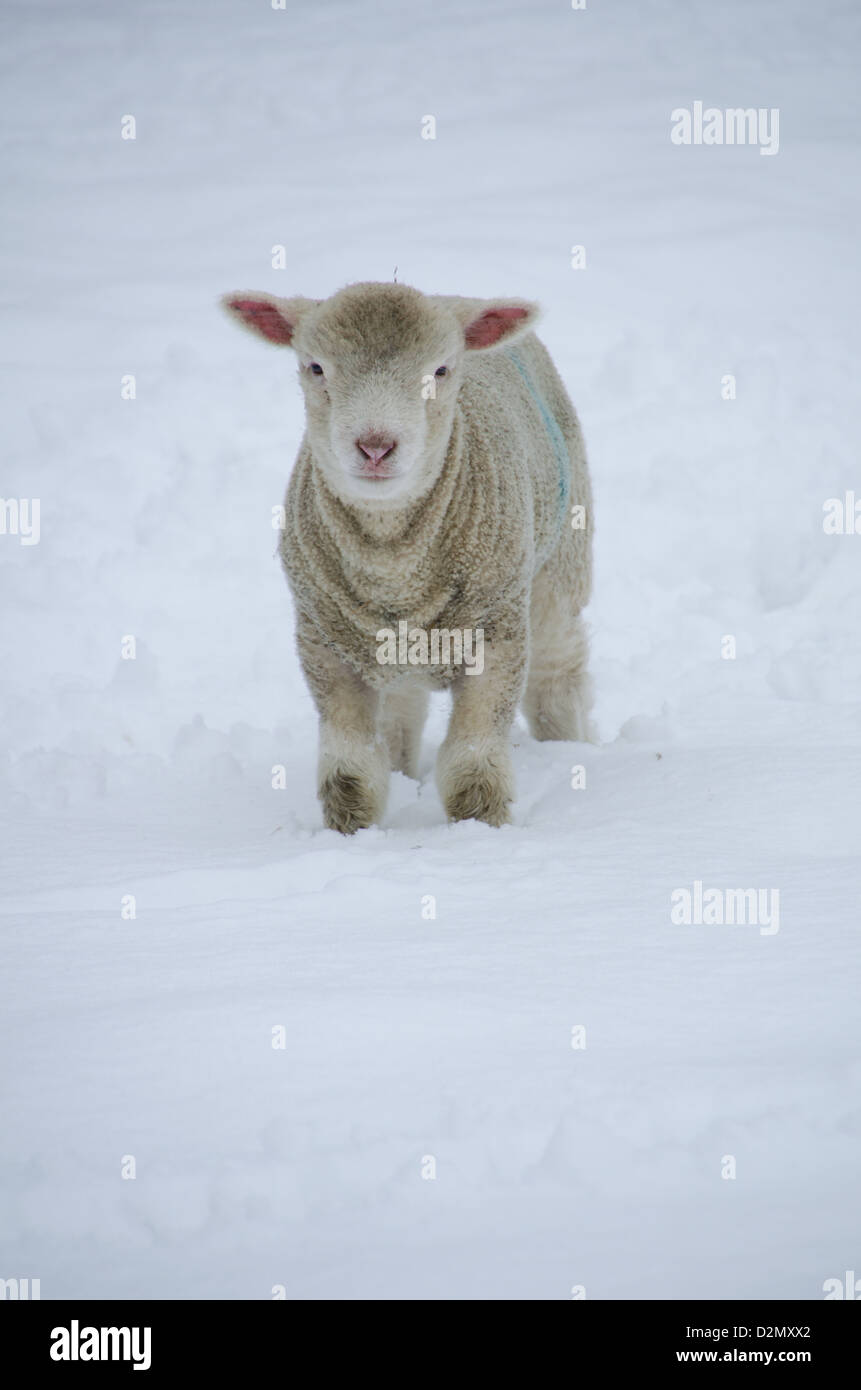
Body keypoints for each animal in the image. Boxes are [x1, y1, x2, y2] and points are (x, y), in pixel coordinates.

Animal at [221, 282, 593, 833]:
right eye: (316, 367)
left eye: (440, 370)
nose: (375, 447)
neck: (393, 563)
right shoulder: (323, 642)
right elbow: (351, 770)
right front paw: (352, 832)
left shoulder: (498, 630)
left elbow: (472, 765)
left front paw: (480, 829)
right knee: (402, 708)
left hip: (560, 565)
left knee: (557, 676)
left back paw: (572, 754)